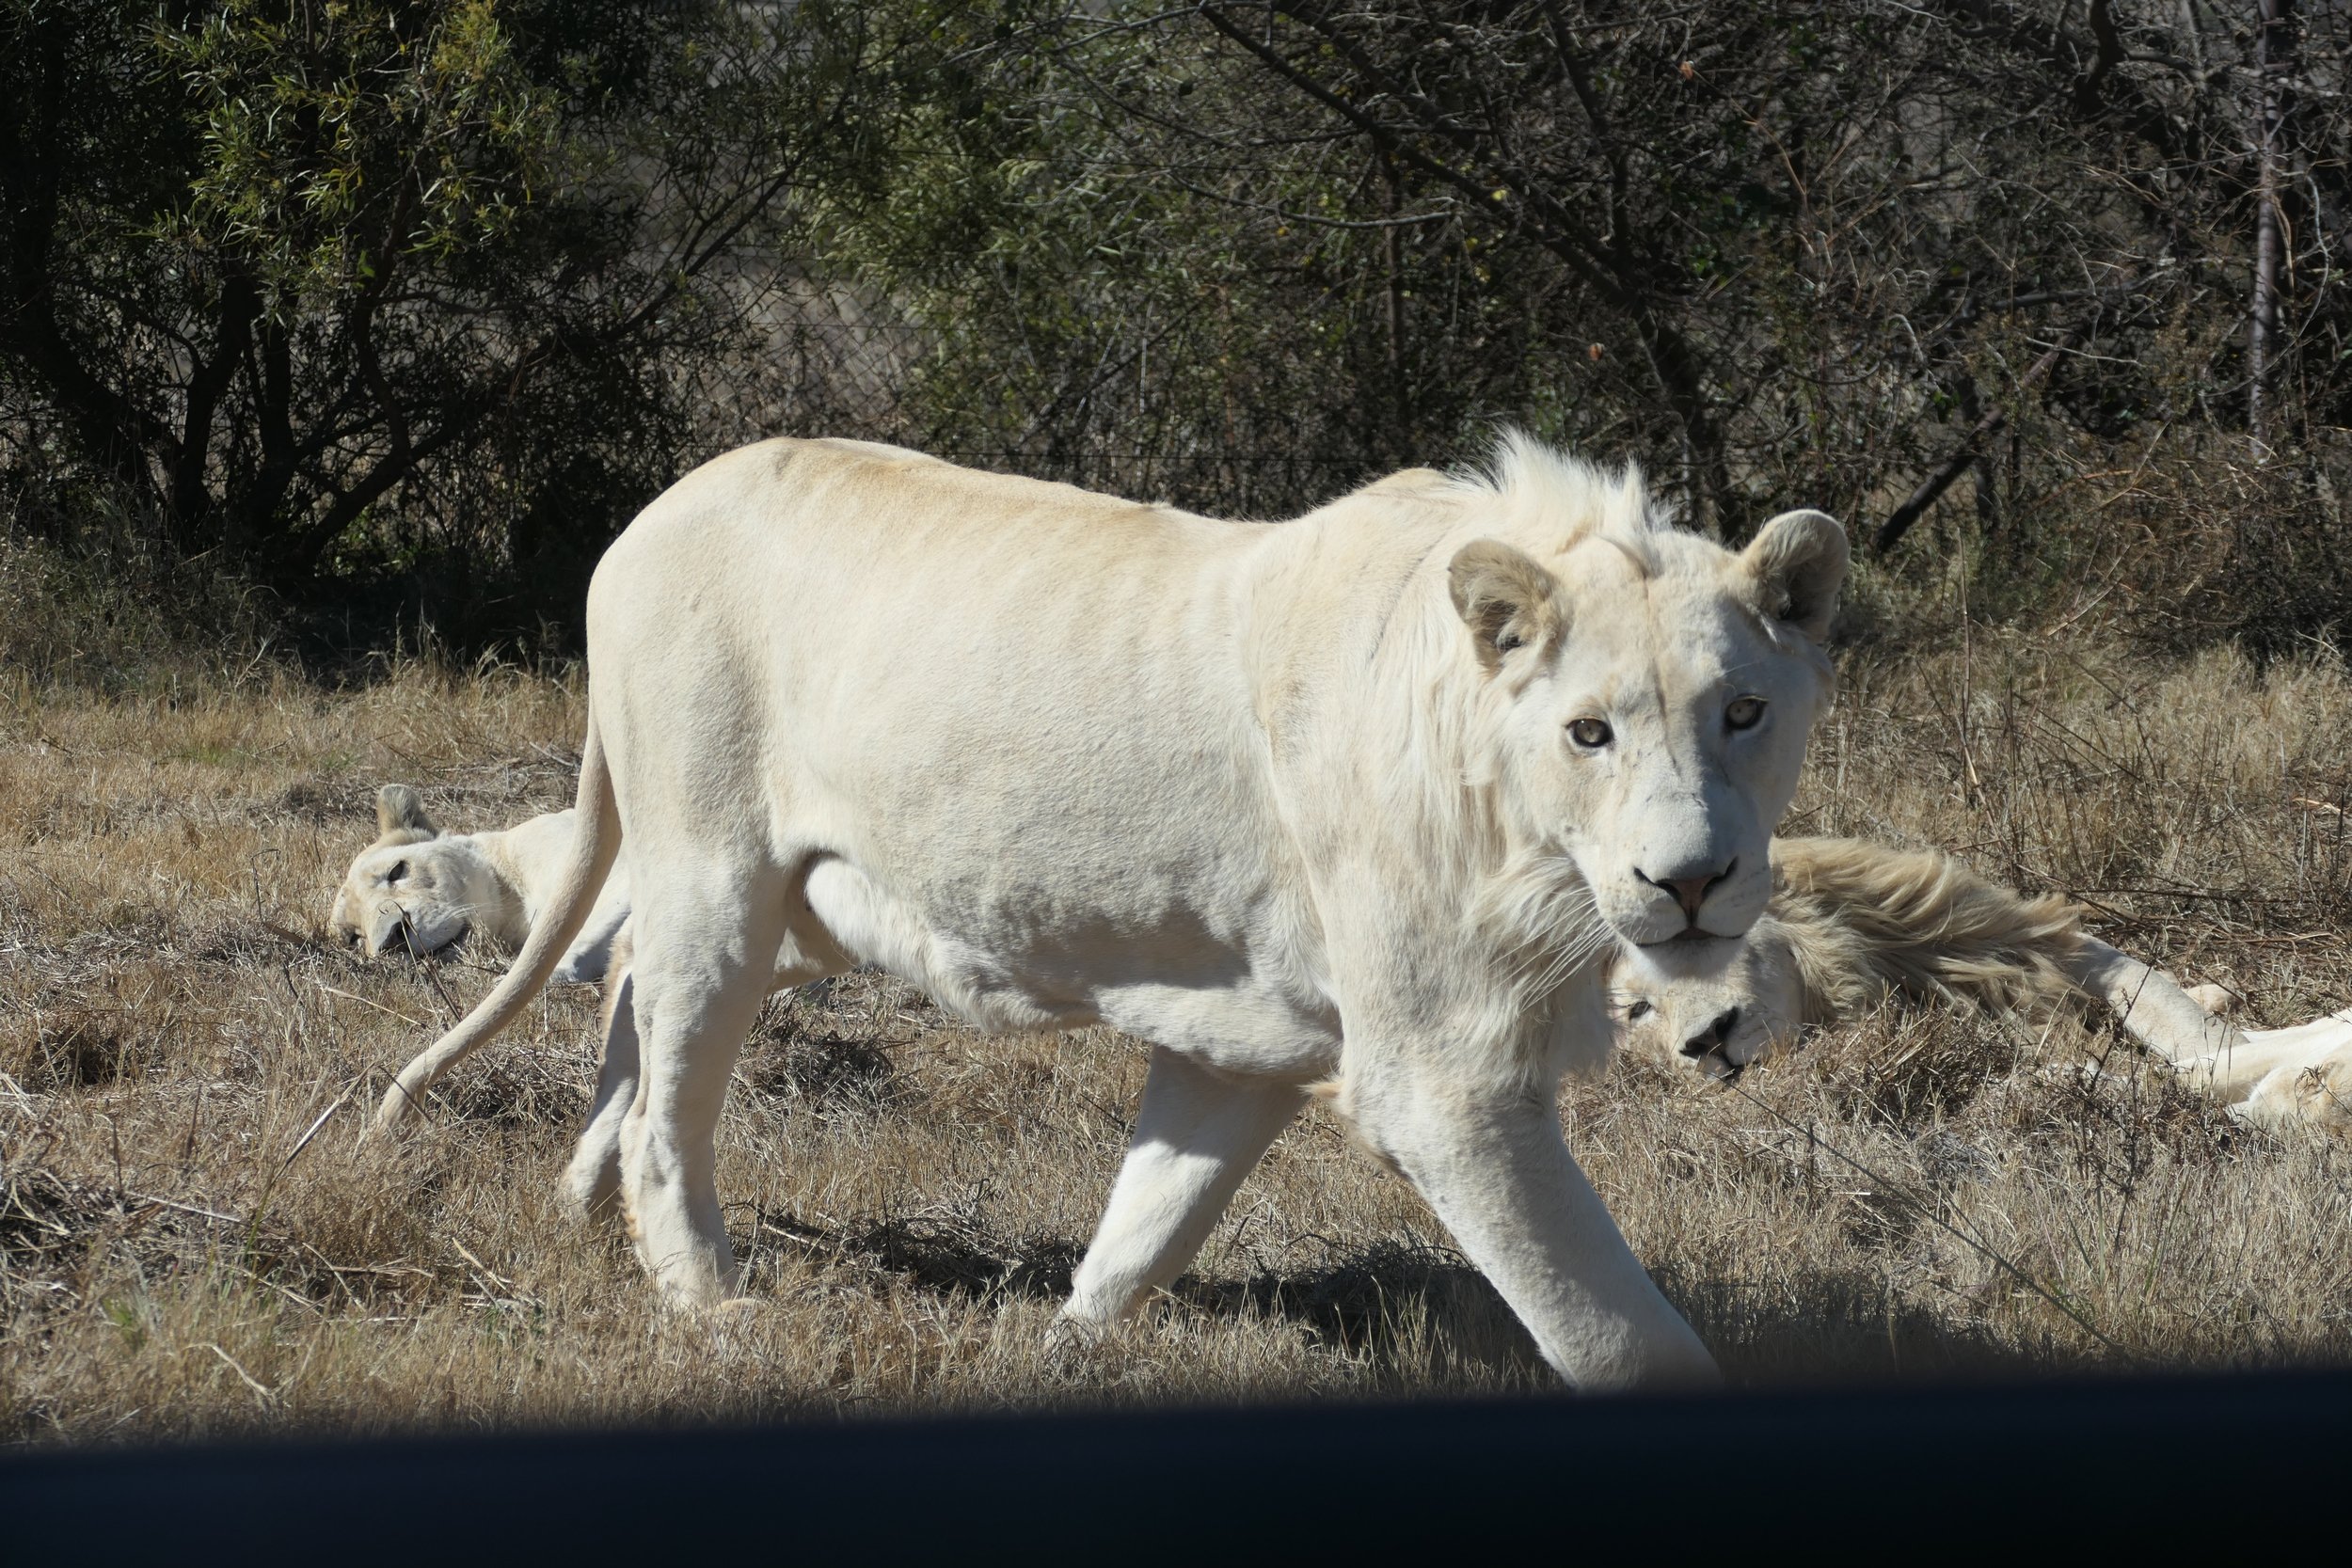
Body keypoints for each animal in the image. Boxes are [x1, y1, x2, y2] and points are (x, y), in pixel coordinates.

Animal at [370, 433, 1850, 1392]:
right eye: (1590, 729)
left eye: (1743, 711)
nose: (1691, 877)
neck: (1536, 854)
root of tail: (648, 515)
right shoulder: (1443, 1077)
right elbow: (1618, 1330)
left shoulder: (1236, 1044)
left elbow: (1149, 1221)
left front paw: (1058, 1352)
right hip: (717, 870)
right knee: (669, 1095)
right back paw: (707, 1304)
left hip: (800, 912)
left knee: (626, 991)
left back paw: (578, 1202)